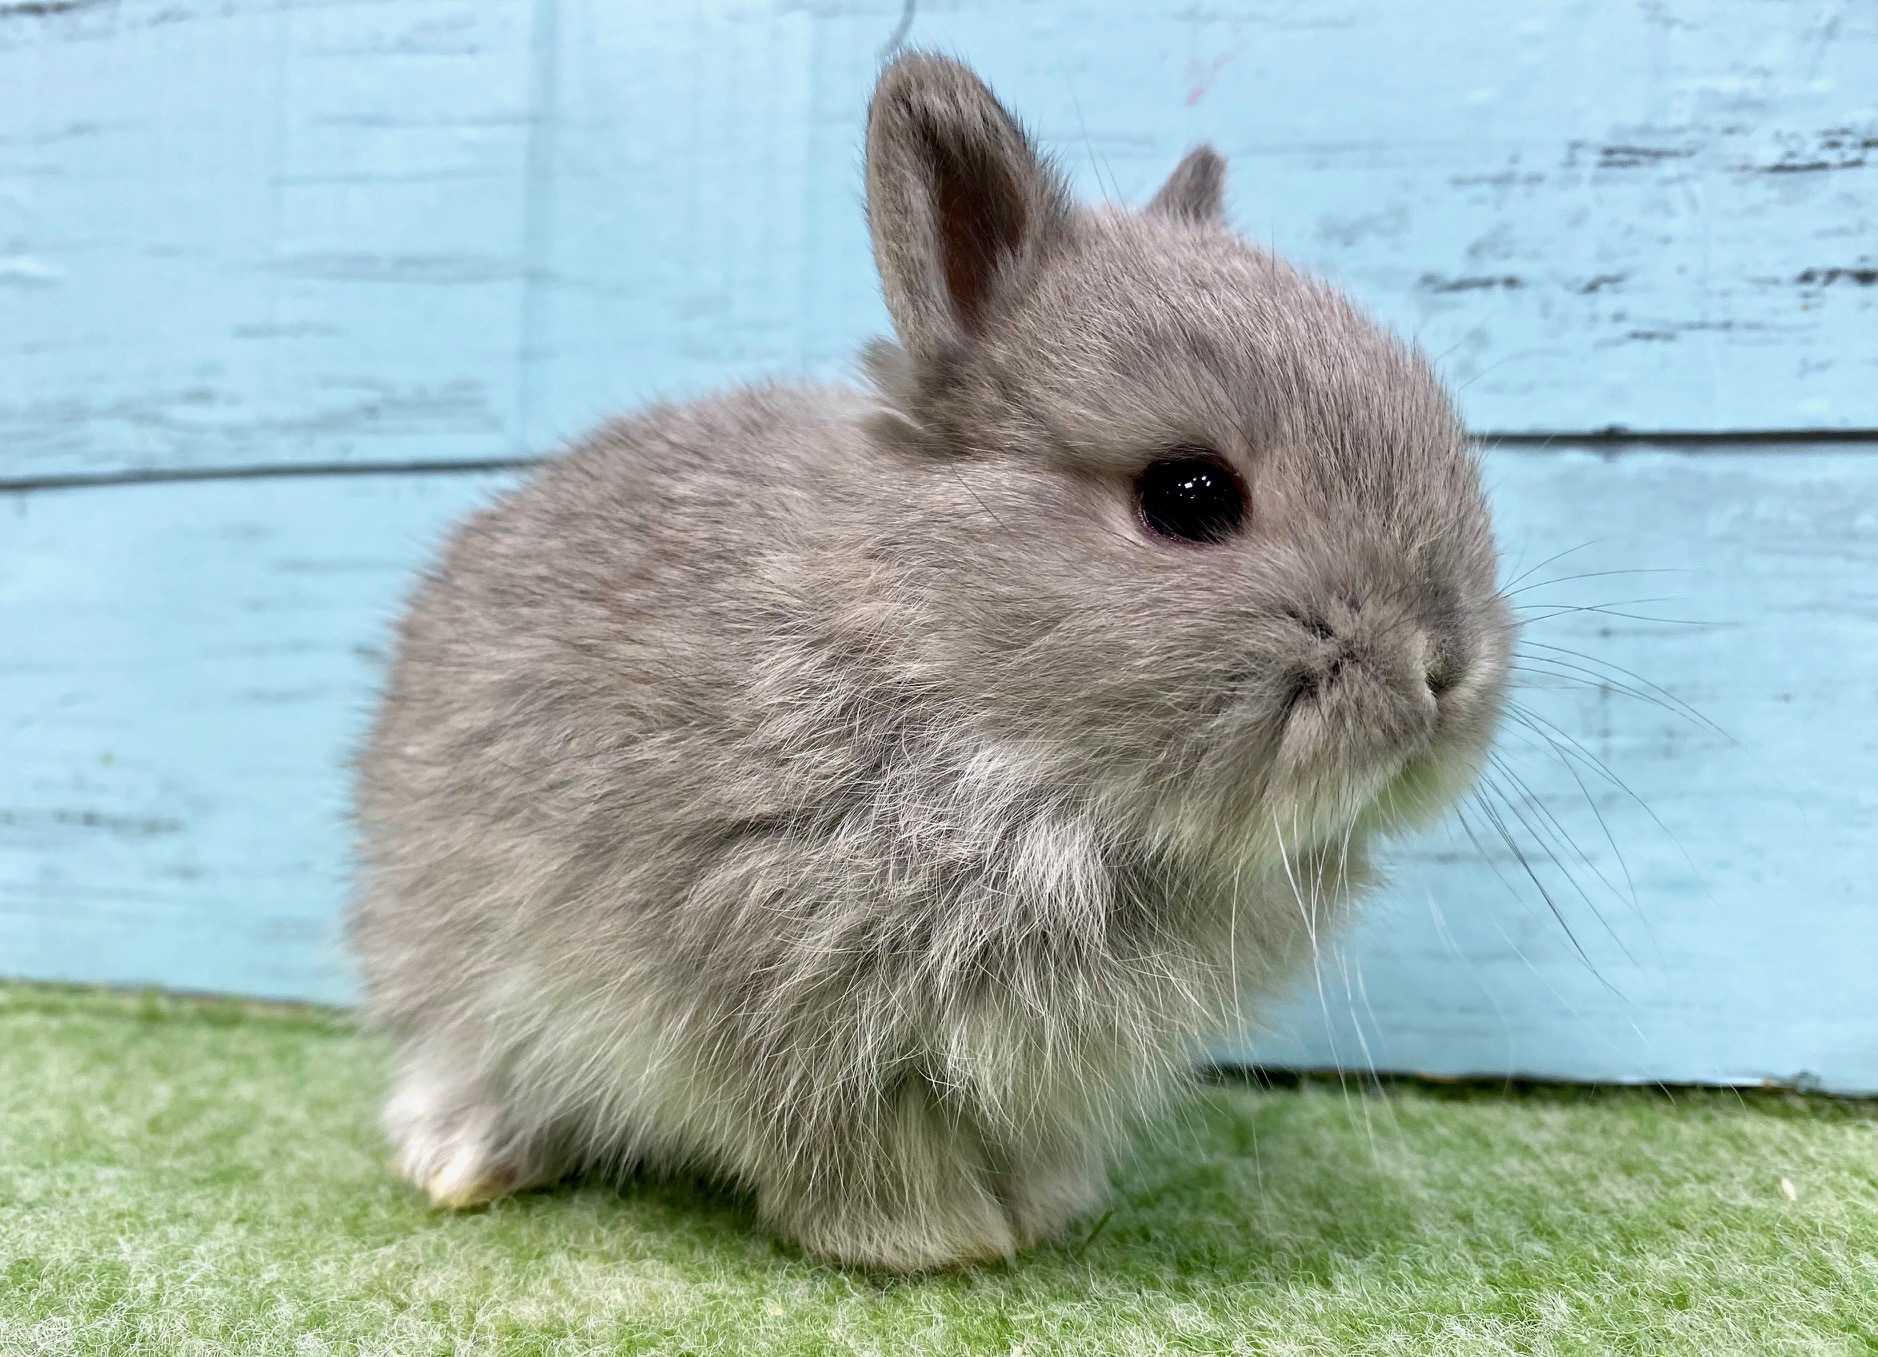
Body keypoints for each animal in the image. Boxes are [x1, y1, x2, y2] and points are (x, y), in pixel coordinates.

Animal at [348, 52, 1512, 1273]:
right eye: (1188, 496)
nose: (1444, 671)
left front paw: (1045, 1208)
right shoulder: (796, 995)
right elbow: (856, 1143)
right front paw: (939, 1240)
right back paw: (464, 1161)